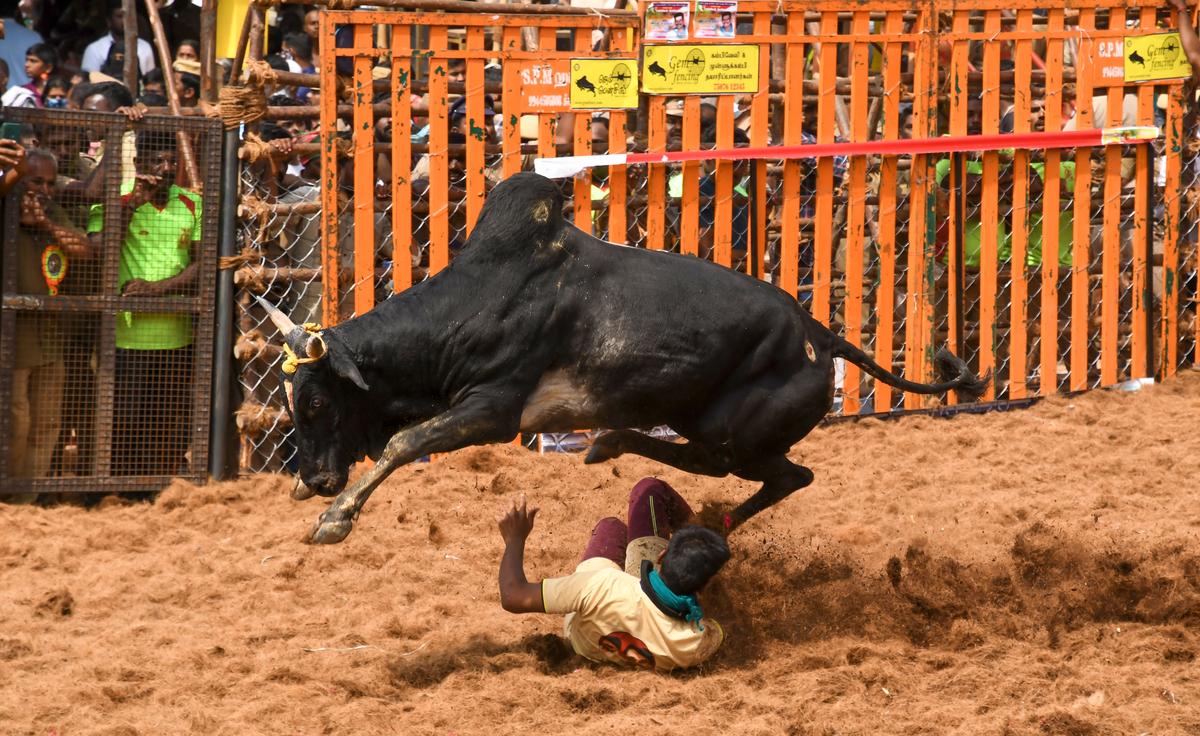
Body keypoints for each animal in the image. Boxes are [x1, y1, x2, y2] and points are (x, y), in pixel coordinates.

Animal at [261, 172, 987, 545]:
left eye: (317, 400)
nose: (313, 479)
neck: (476, 302)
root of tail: (817, 332)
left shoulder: (494, 410)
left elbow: (405, 442)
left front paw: (334, 520)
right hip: (711, 422)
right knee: (745, 470)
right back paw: (626, 457)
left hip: (740, 431)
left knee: (772, 473)